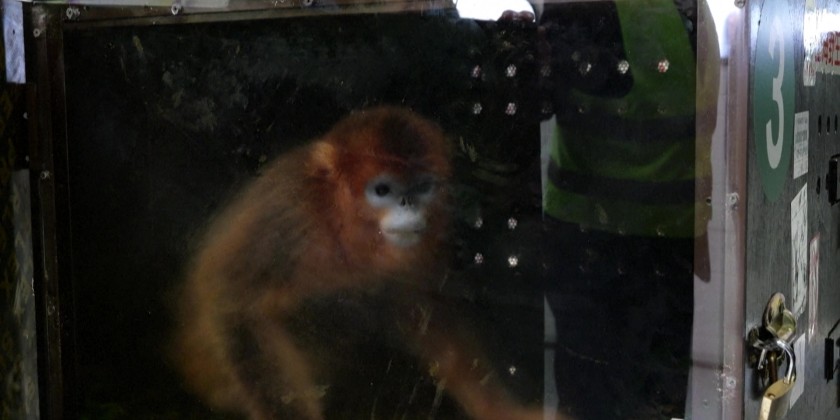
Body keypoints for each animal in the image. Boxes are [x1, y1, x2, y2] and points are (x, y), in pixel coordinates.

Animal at [172, 107, 547, 420]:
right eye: (382, 190)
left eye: (423, 187)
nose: (408, 204)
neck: (340, 229)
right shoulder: (290, 218)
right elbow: (235, 304)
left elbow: (425, 313)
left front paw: (504, 411)